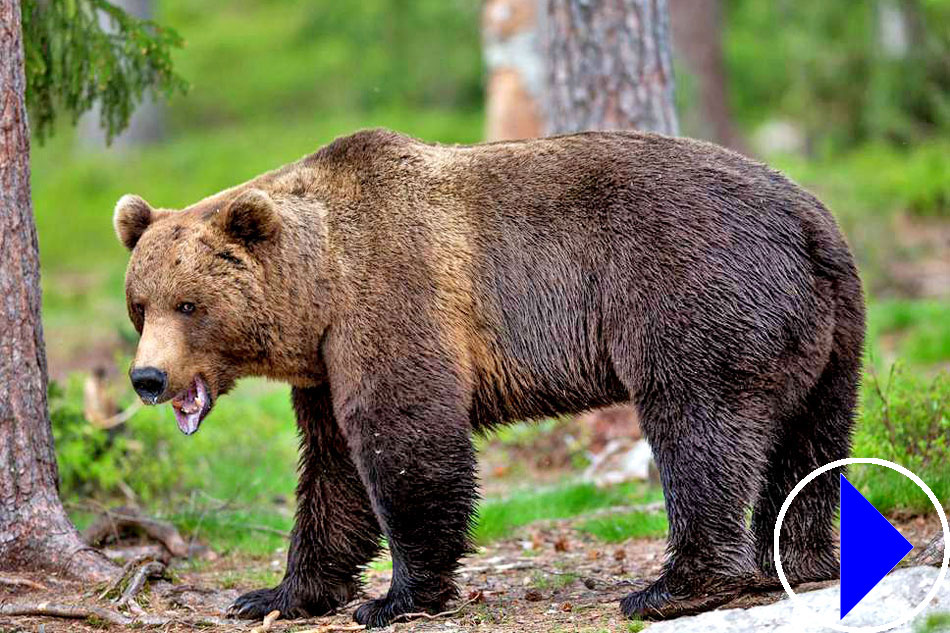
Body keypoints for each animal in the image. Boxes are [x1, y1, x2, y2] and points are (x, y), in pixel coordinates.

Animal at [113, 128, 865, 627]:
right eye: (140, 303)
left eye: (189, 304)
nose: (147, 377)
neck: (319, 288)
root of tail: (807, 218)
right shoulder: (325, 366)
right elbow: (332, 469)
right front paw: (274, 594)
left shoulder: (393, 298)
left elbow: (404, 439)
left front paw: (396, 596)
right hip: (830, 330)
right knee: (813, 438)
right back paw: (797, 559)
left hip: (694, 291)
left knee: (698, 426)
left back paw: (675, 586)